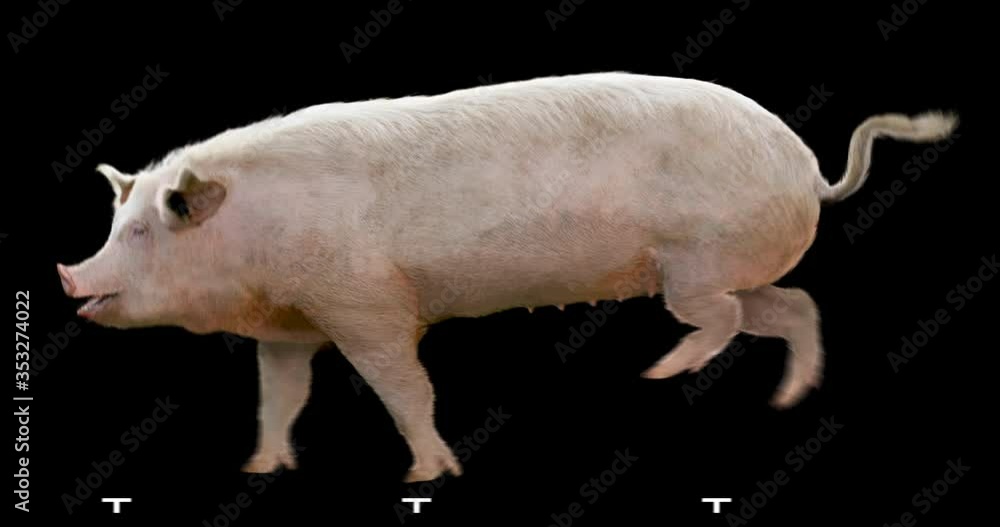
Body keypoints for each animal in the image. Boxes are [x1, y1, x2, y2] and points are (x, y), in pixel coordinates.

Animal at [56, 73, 957, 482]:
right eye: (114, 227)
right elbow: (281, 394)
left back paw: (659, 372)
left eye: (144, 230)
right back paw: (787, 397)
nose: (68, 272)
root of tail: (811, 171)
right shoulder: (291, 327)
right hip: (731, 265)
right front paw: (260, 468)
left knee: (724, 317)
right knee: (793, 305)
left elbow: (403, 385)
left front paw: (428, 475)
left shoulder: (366, 300)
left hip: (692, 264)